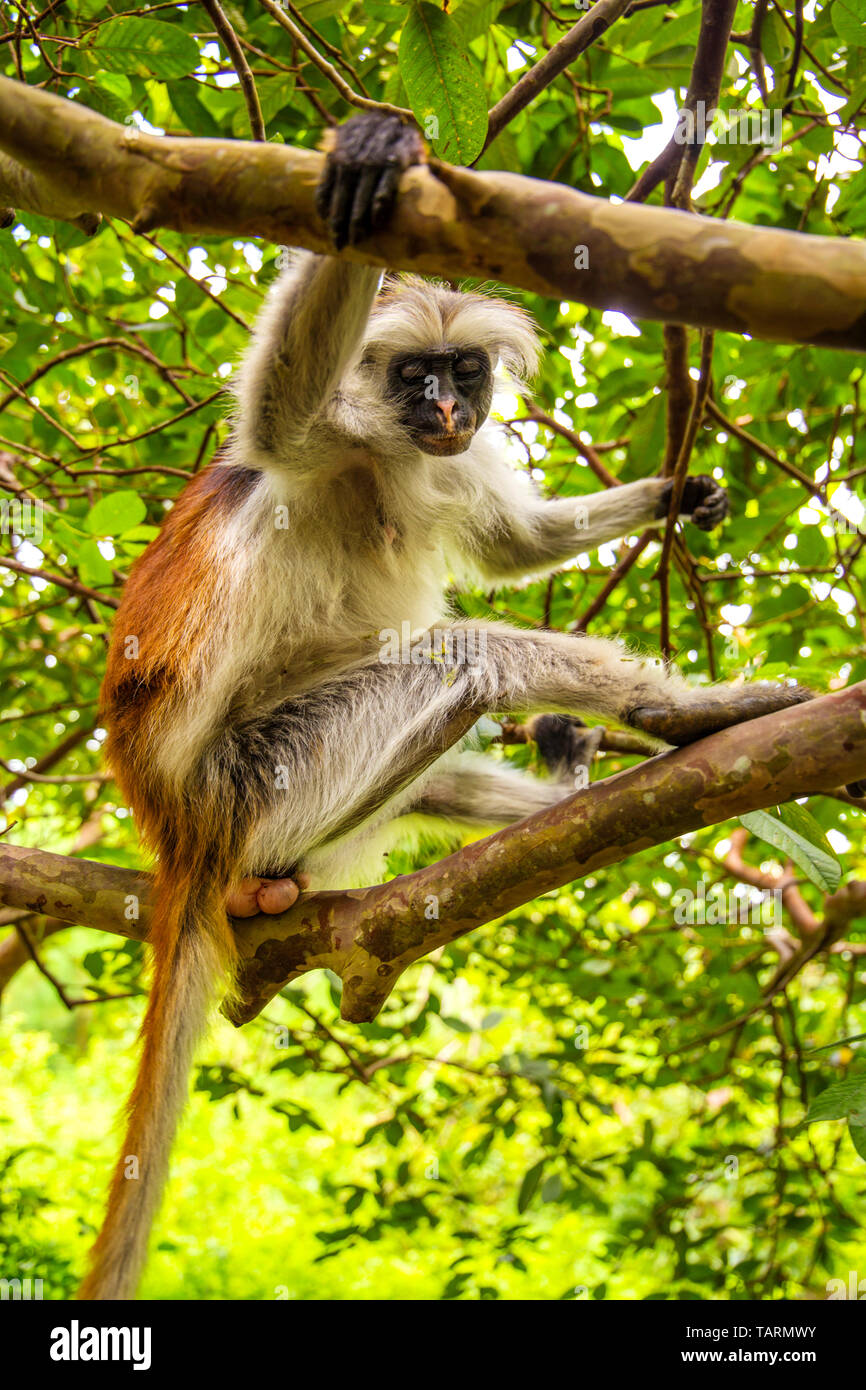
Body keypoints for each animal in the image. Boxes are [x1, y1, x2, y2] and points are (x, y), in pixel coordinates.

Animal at [80, 112, 811, 1300]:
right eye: (415, 372)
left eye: (463, 372)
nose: (447, 407)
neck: (388, 462)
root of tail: (174, 826)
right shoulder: (325, 438)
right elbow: (277, 415)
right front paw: (372, 152)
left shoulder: (447, 463)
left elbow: (513, 545)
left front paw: (670, 494)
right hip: (257, 783)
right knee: (464, 657)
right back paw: (689, 720)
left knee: (448, 763)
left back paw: (559, 789)